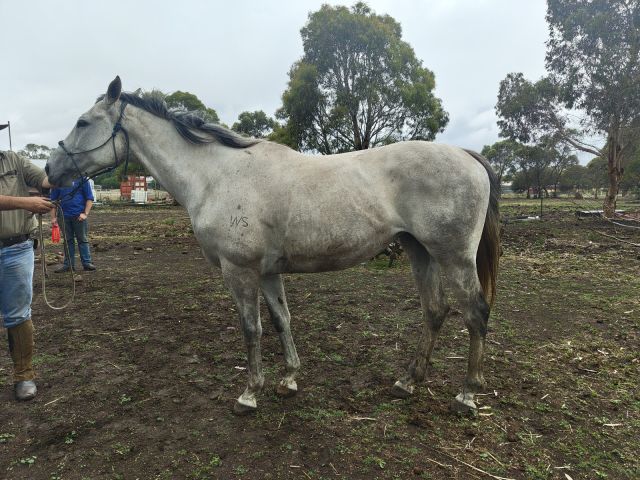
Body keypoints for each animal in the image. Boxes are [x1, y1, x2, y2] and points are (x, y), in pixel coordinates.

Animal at [46, 76, 500, 415]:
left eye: (83, 122)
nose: (51, 168)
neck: (216, 175)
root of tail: (466, 154)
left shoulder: (239, 270)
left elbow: (252, 329)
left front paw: (250, 393)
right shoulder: (266, 272)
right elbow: (282, 321)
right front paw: (288, 379)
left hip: (454, 257)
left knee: (475, 313)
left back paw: (467, 394)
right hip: (419, 251)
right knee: (435, 311)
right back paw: (407, 382)